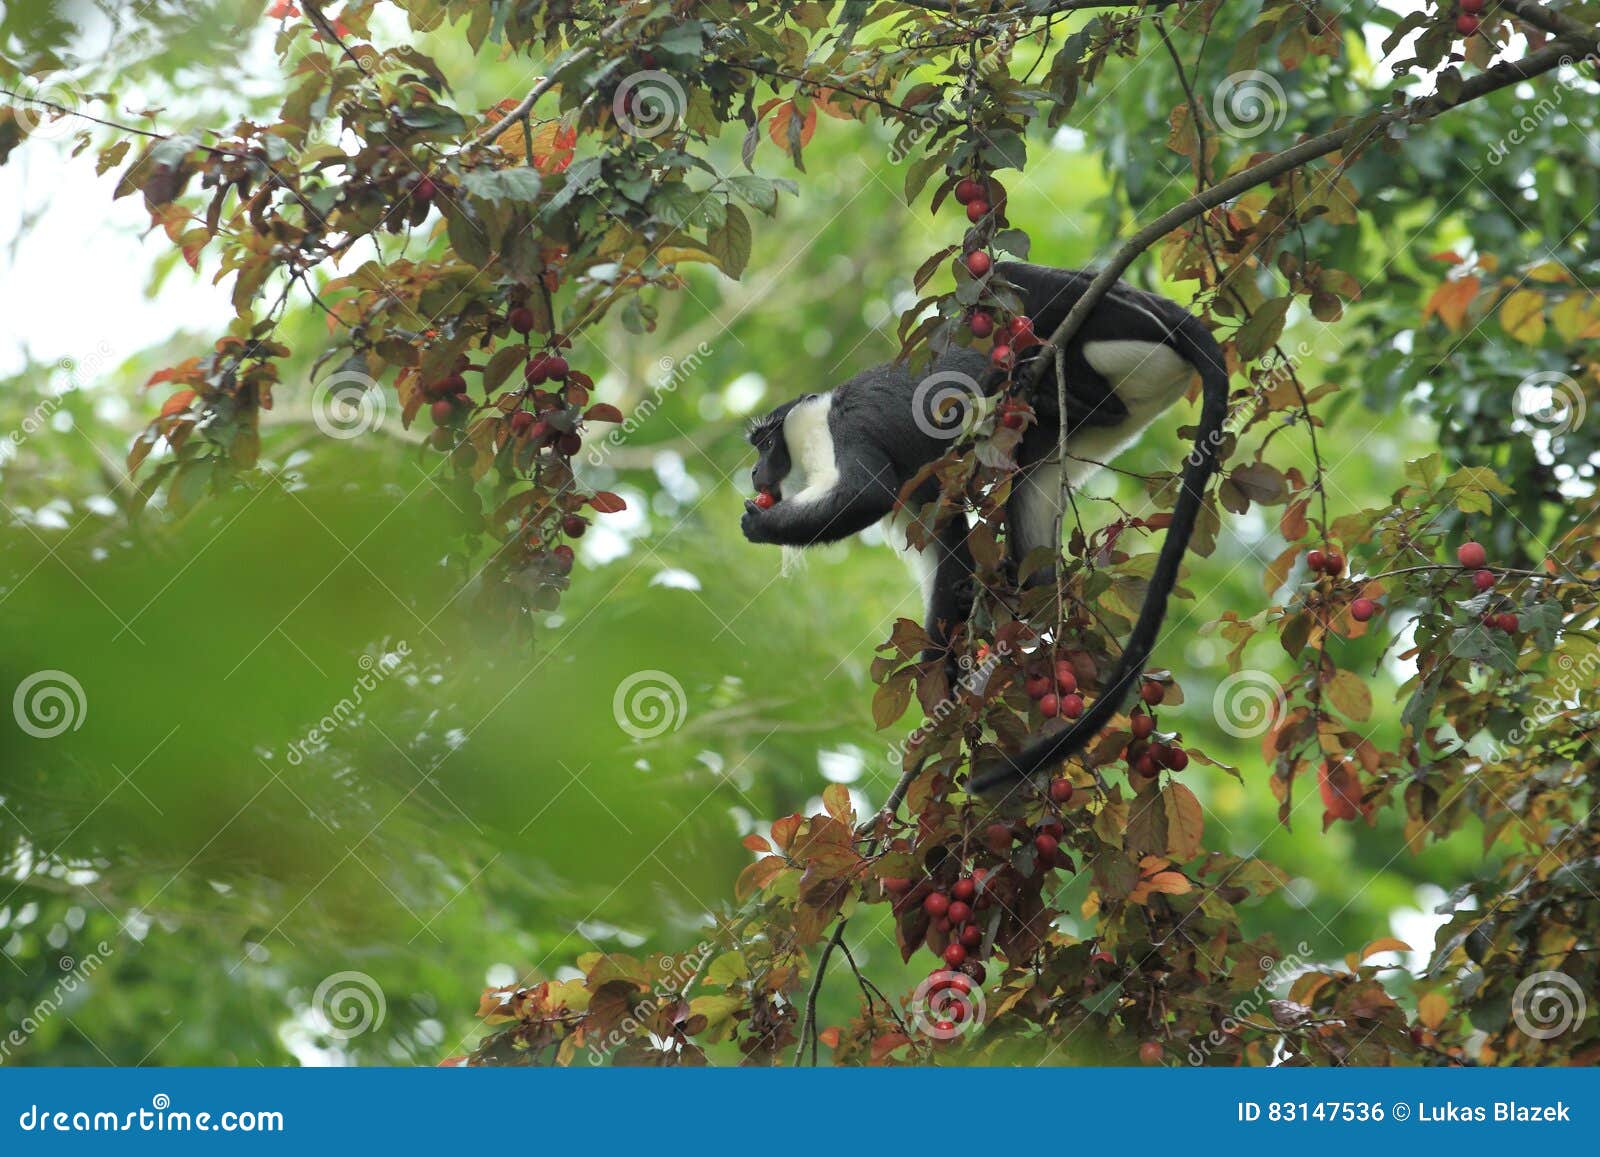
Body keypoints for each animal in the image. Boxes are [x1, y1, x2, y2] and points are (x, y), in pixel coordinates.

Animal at [740, 262, 1229, 795]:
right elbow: (949, 557)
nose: (755, 472)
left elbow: (866, 493)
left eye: (768, 443)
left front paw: (757, 524)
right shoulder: (921, 493)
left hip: (1119, 332)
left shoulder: (838, 431)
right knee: (1034, 492)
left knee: (1026, 282)